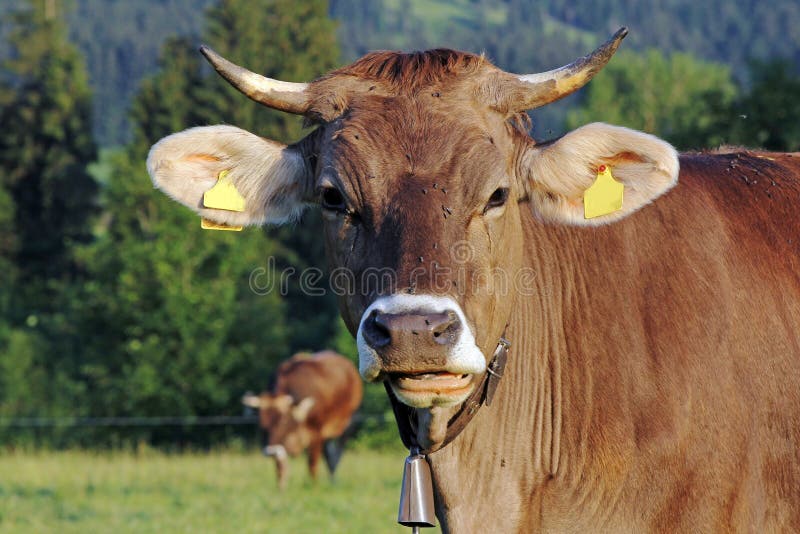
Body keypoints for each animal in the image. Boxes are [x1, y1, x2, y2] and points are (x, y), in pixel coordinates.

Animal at [241, 351, 363, 489]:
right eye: (261, 421)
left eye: (283, 421)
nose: (270, 451)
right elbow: (280, 465)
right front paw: (281, 487)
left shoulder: (316, 432)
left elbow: (312, 463)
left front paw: (314, 486)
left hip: (348, 422)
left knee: (336, 454)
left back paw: (333, 480)